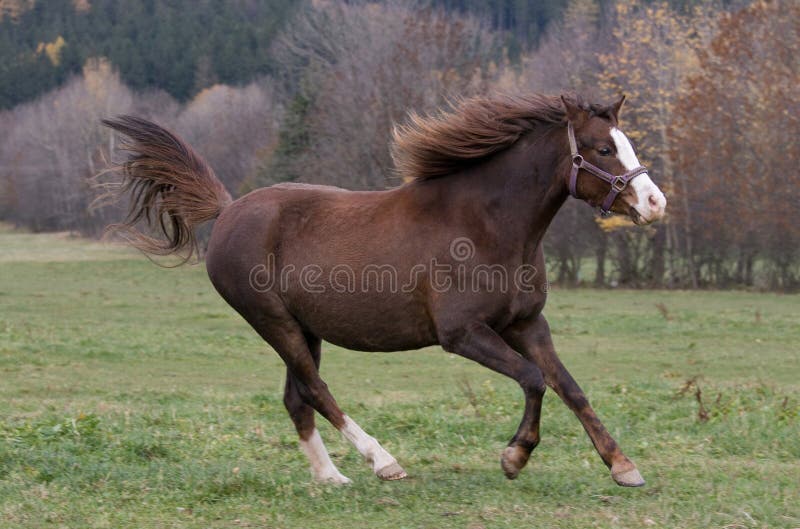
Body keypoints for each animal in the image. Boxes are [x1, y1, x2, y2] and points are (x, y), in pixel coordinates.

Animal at [101, 93, 666, 487]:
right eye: (603, 148)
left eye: (627, 144)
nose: (655, 203)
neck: (487, 224)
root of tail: (227, 212)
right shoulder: (463, 334)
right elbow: (533, 380)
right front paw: (514, 456)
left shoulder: (527, 323)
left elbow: (569, 387)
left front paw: (623, 467)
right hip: (272, 321)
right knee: (316, 390)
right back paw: (383, 462)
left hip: (305, 328)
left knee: (296, 397)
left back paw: (331, 477)